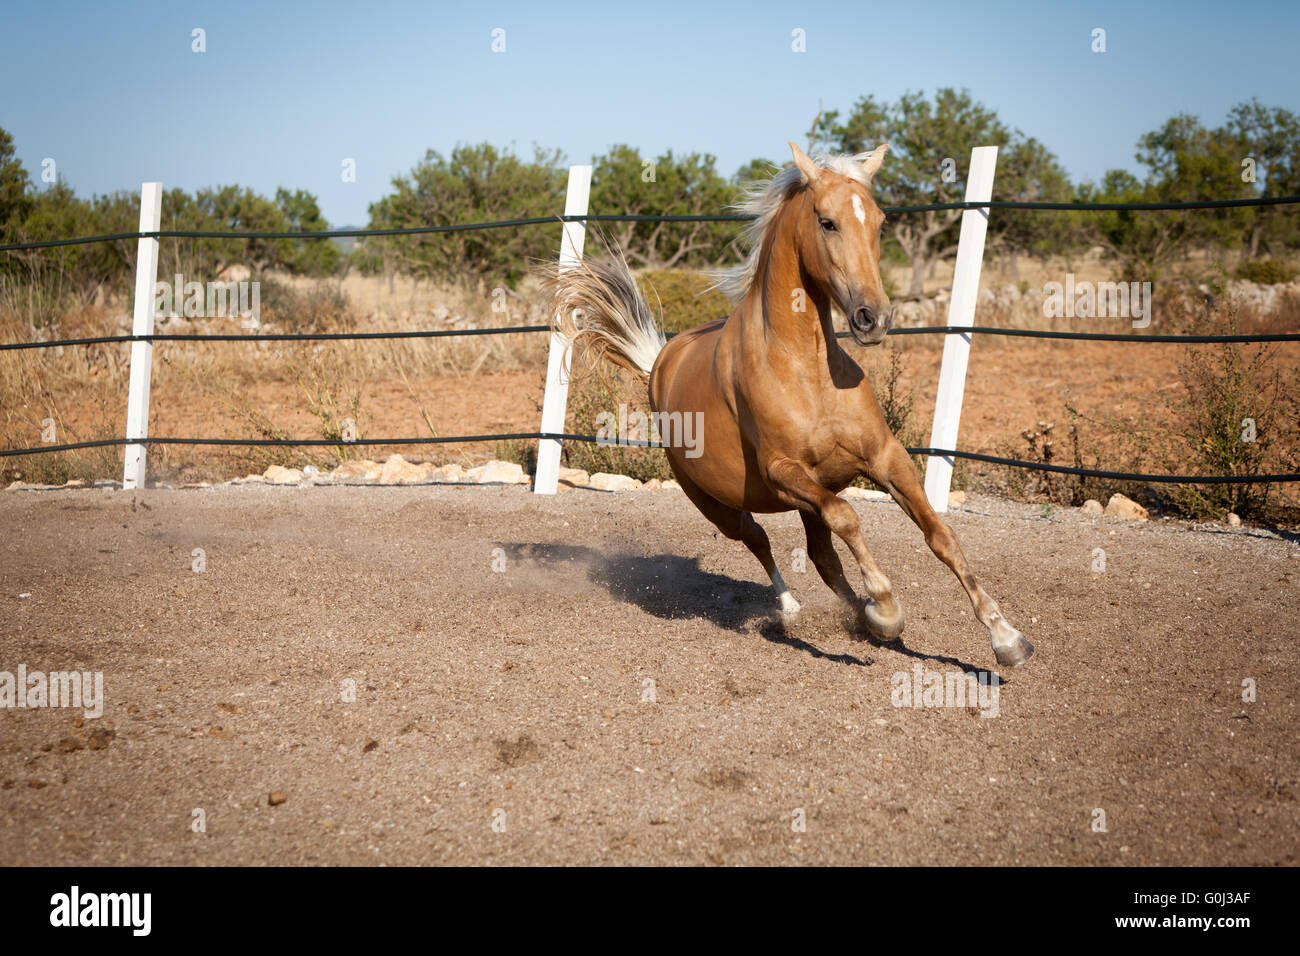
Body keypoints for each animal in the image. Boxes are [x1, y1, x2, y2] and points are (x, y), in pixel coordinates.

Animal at [547, 141, 1034, 668]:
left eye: (879, 221)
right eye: (827, 221)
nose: (874, 317)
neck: (807, 368)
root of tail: (660, 359)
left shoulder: (885, 458)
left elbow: (939, 535)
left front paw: (1006, 638)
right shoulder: (783, 470)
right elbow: (848, 516)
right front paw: (886, 608)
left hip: (805, 497)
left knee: (822, 556)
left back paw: (856, 618)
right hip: (715, 502)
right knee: (759, 539)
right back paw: (795, 610)